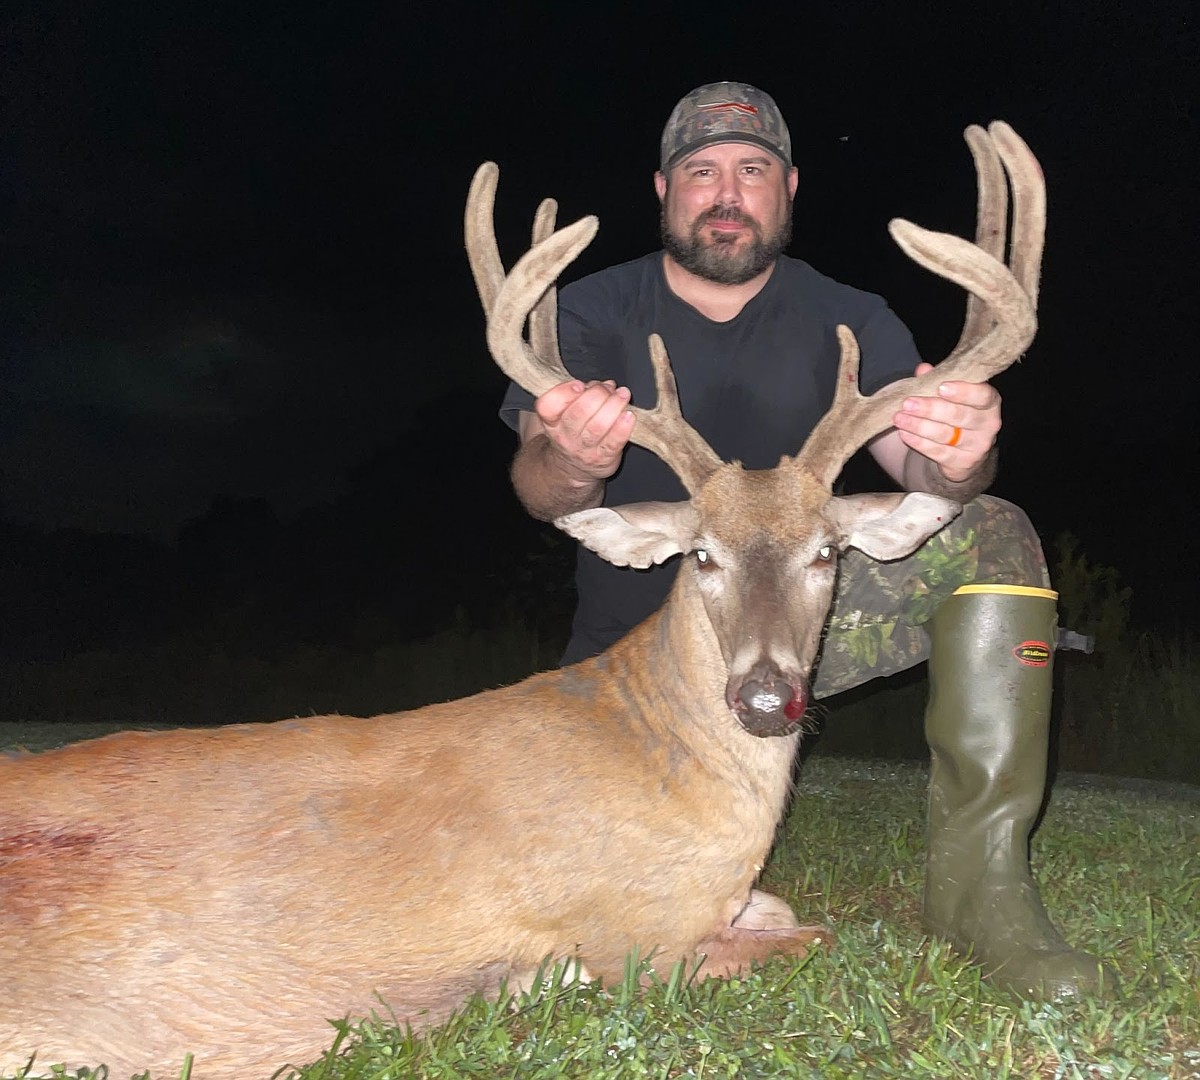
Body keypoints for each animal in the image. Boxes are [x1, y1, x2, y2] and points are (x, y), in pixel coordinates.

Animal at [0, 121, 1043, 1080]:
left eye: (827, 553)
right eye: (702, 557)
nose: (764, 698)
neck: (672, 759)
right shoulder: (641, 937)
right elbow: (810, 931)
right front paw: (520, 984)